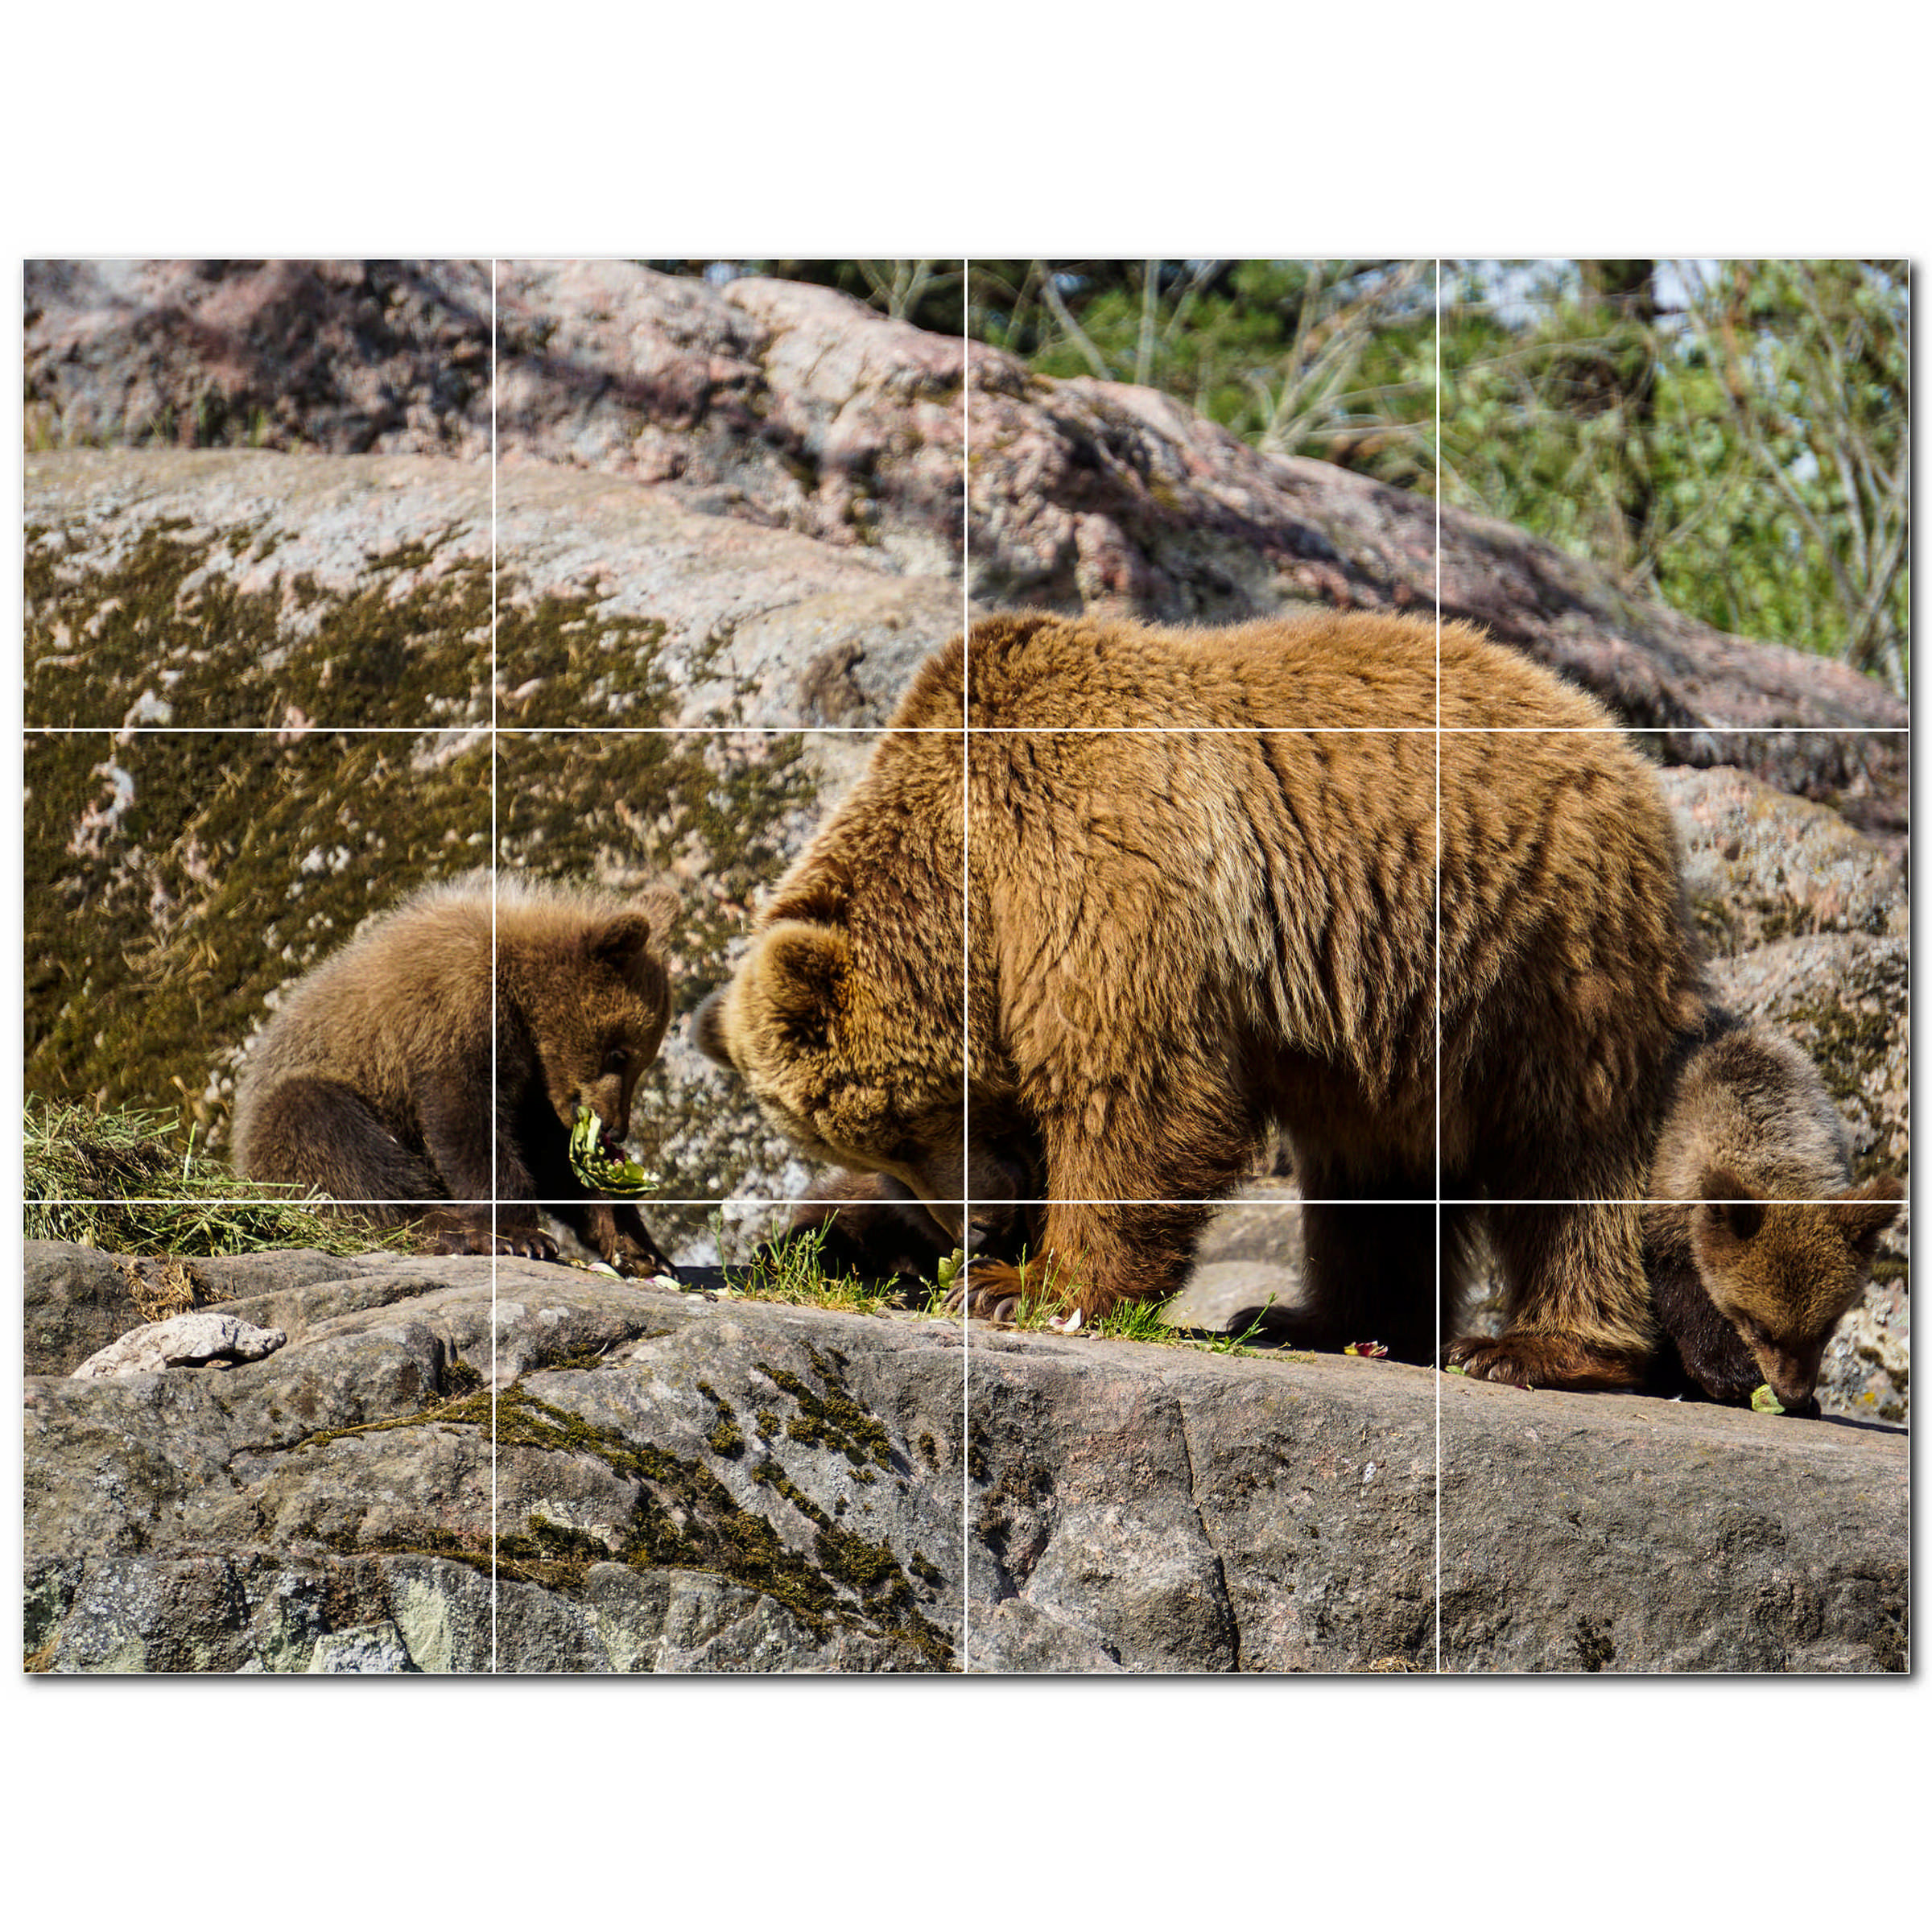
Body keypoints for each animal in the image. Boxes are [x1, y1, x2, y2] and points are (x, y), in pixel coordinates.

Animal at [231, 872, 678, 1272]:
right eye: (619, 1054)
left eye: (643, 1059)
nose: (615, 1129)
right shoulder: (454, 1014)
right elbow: (468, 1124)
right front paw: (520, 1234)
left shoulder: (536, 1080)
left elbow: (548, 1150)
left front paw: (638, 1245)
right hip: (295, 1119)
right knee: (330, 1136)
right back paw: (453, 1230)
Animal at [695, 608, 1710, 1386]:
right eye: (876, 1147)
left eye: (904, 1123)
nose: (976, 1227)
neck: (971, 873)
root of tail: (1616, 742)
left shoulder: (1102, 855)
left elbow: (1135, 1087)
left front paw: (1018, 1286)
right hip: (1384, 1017)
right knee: (1369, 1170)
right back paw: (1318, 1319)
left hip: (1536, 943)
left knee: (1568, 1150)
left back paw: (1535, 1348)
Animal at [1641, 1016, 1903, 1417]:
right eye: (1759, 1326)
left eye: (1827, 1326)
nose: (1793, 1394)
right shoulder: (1674, 1189)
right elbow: (1680, 1286)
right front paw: (1730, 1373)